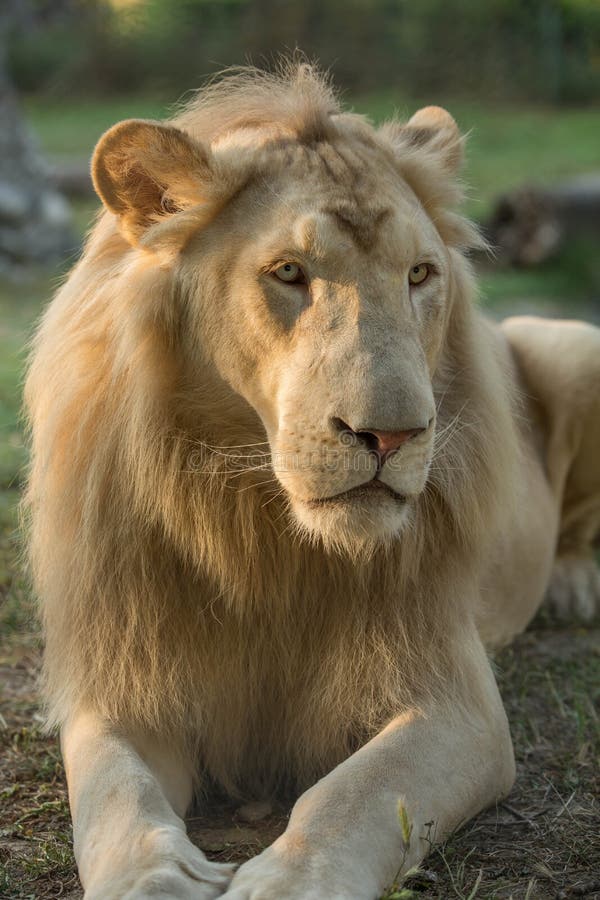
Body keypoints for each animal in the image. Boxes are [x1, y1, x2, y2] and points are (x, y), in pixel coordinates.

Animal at [24, 62, 600, 899]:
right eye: (289, 273)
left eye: (419, 275)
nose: (393, 435)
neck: (258, 527)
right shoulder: (122, 678)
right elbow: (114, 795)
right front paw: (152, 881)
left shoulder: (457, 702)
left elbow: (355, 792)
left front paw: (288, 883)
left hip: (571, 343)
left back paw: (574, 583)